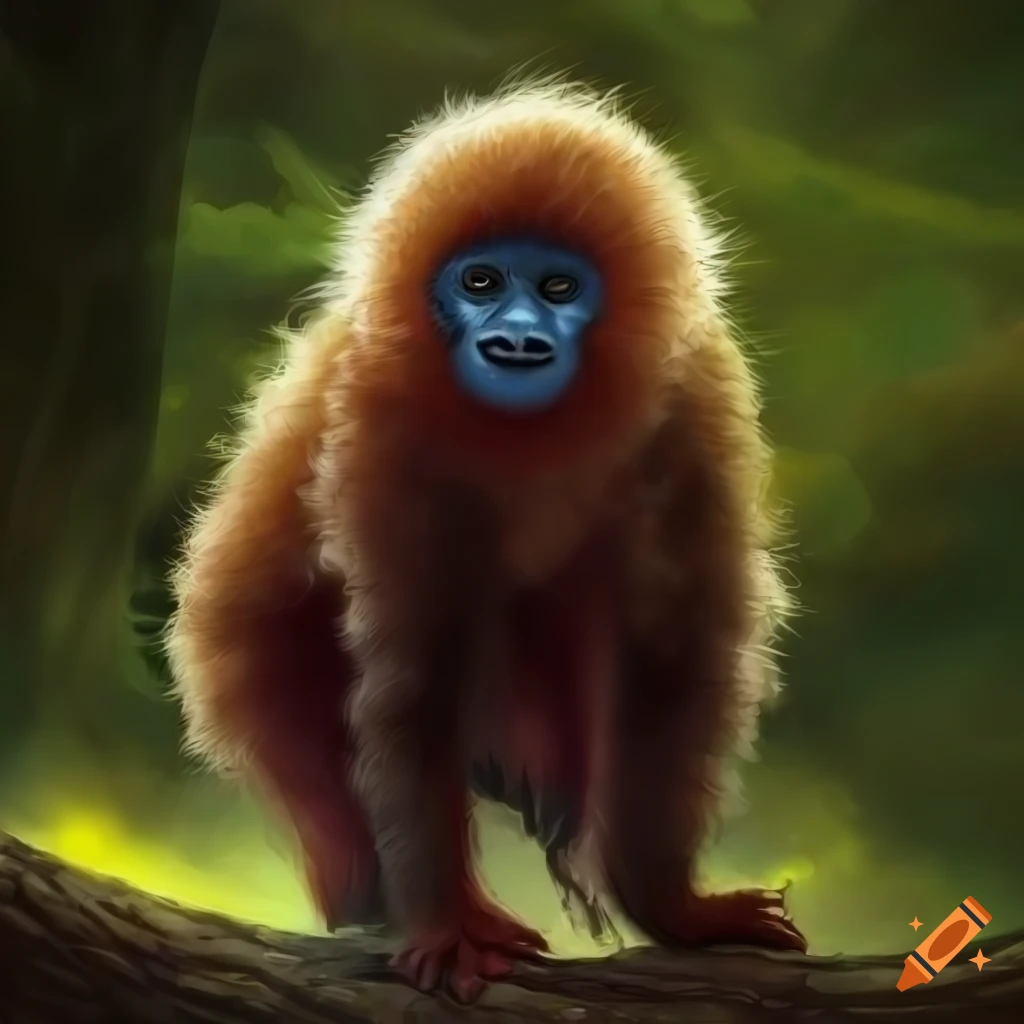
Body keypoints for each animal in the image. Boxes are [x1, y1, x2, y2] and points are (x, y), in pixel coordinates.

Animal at [166, 77, 807, 1004]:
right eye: (479, 280)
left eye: (557, 286)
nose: (514, 338)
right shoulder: (384, 419)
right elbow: (415, 679)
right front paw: (448, 924)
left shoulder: (697, 403)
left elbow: (671, 655)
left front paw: (670, 907)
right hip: (245, 661)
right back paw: (364, 891)